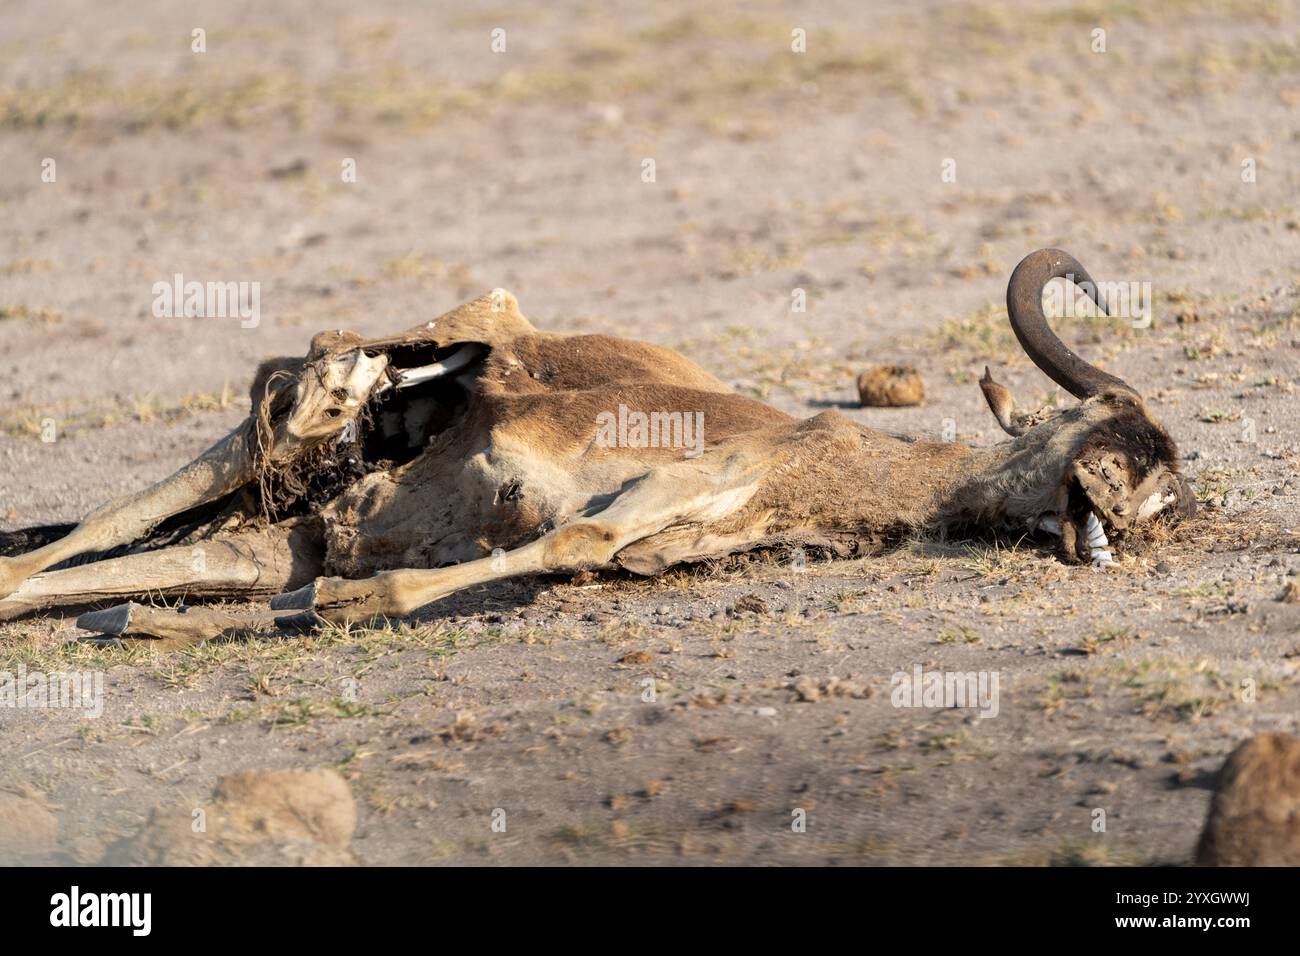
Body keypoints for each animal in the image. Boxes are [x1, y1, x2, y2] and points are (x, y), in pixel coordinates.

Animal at [0, 249, 1195, 645]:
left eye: (1166, 490)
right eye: (1098, 430)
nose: (1123, 519)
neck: (842, 470)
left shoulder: (679, 535)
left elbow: (589, 555)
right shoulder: (682, 478)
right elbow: (568, 542)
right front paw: (347, 608)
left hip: (285, 529)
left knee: (152, 562)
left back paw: (134, 616)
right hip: (318, 412)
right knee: (104, 521)